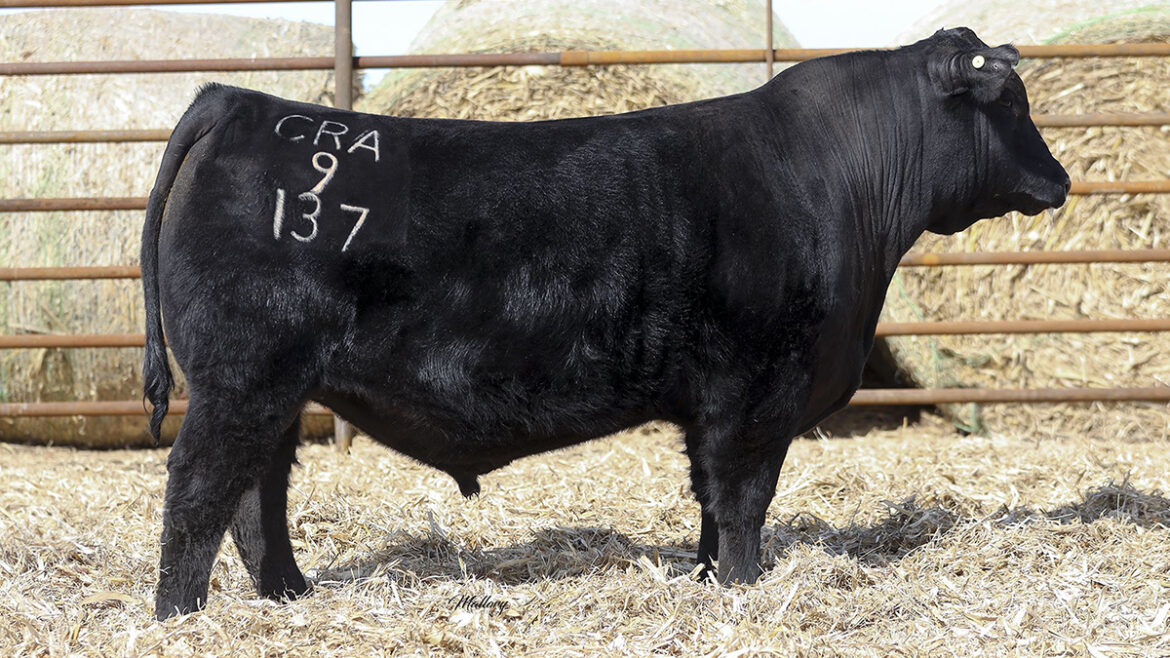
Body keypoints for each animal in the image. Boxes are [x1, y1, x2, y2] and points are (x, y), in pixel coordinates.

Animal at [142, 27, 1068, 619]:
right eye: (1014, 104)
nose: (1059, 180)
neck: (832, 178)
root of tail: (239, 100)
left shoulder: (712, 404)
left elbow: (710, 500)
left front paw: (710, 578)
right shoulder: (754, 392)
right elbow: (744, 498)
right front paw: (744, 586)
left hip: (272, 390)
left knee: (255, 493)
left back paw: (287, 596)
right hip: (241, 379)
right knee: (199, 487)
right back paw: (180, 614)